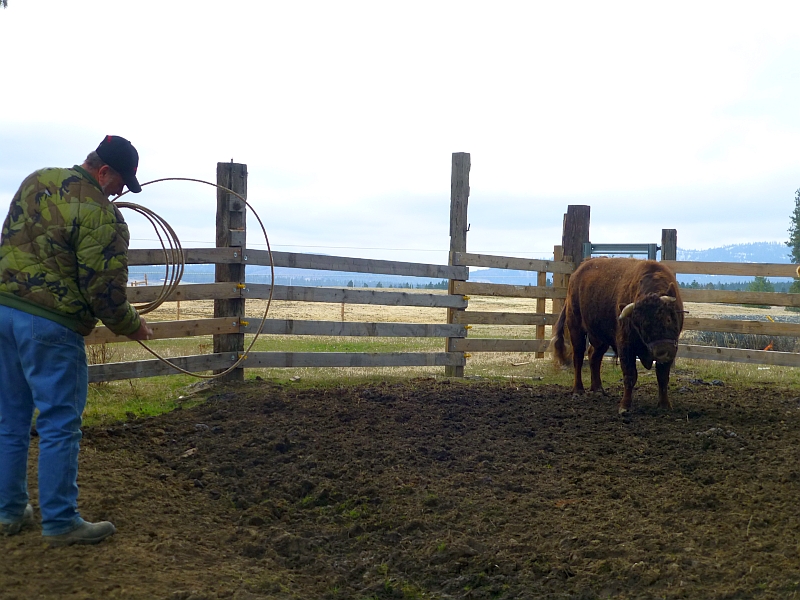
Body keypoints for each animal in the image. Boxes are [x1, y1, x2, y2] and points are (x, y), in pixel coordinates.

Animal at [551, 257, 684, 414]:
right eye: (641, 325)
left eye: (668, 319)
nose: (663, 352)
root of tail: (577, 272)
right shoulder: (625, 346)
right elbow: (630, 375)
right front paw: (624, 406)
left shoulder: (672, 347)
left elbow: (662, 376)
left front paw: (664, 405)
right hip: (576, 329)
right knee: (578, 357)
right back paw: (578, 390)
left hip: (601, 338)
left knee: (594, 356)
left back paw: (598, 389)